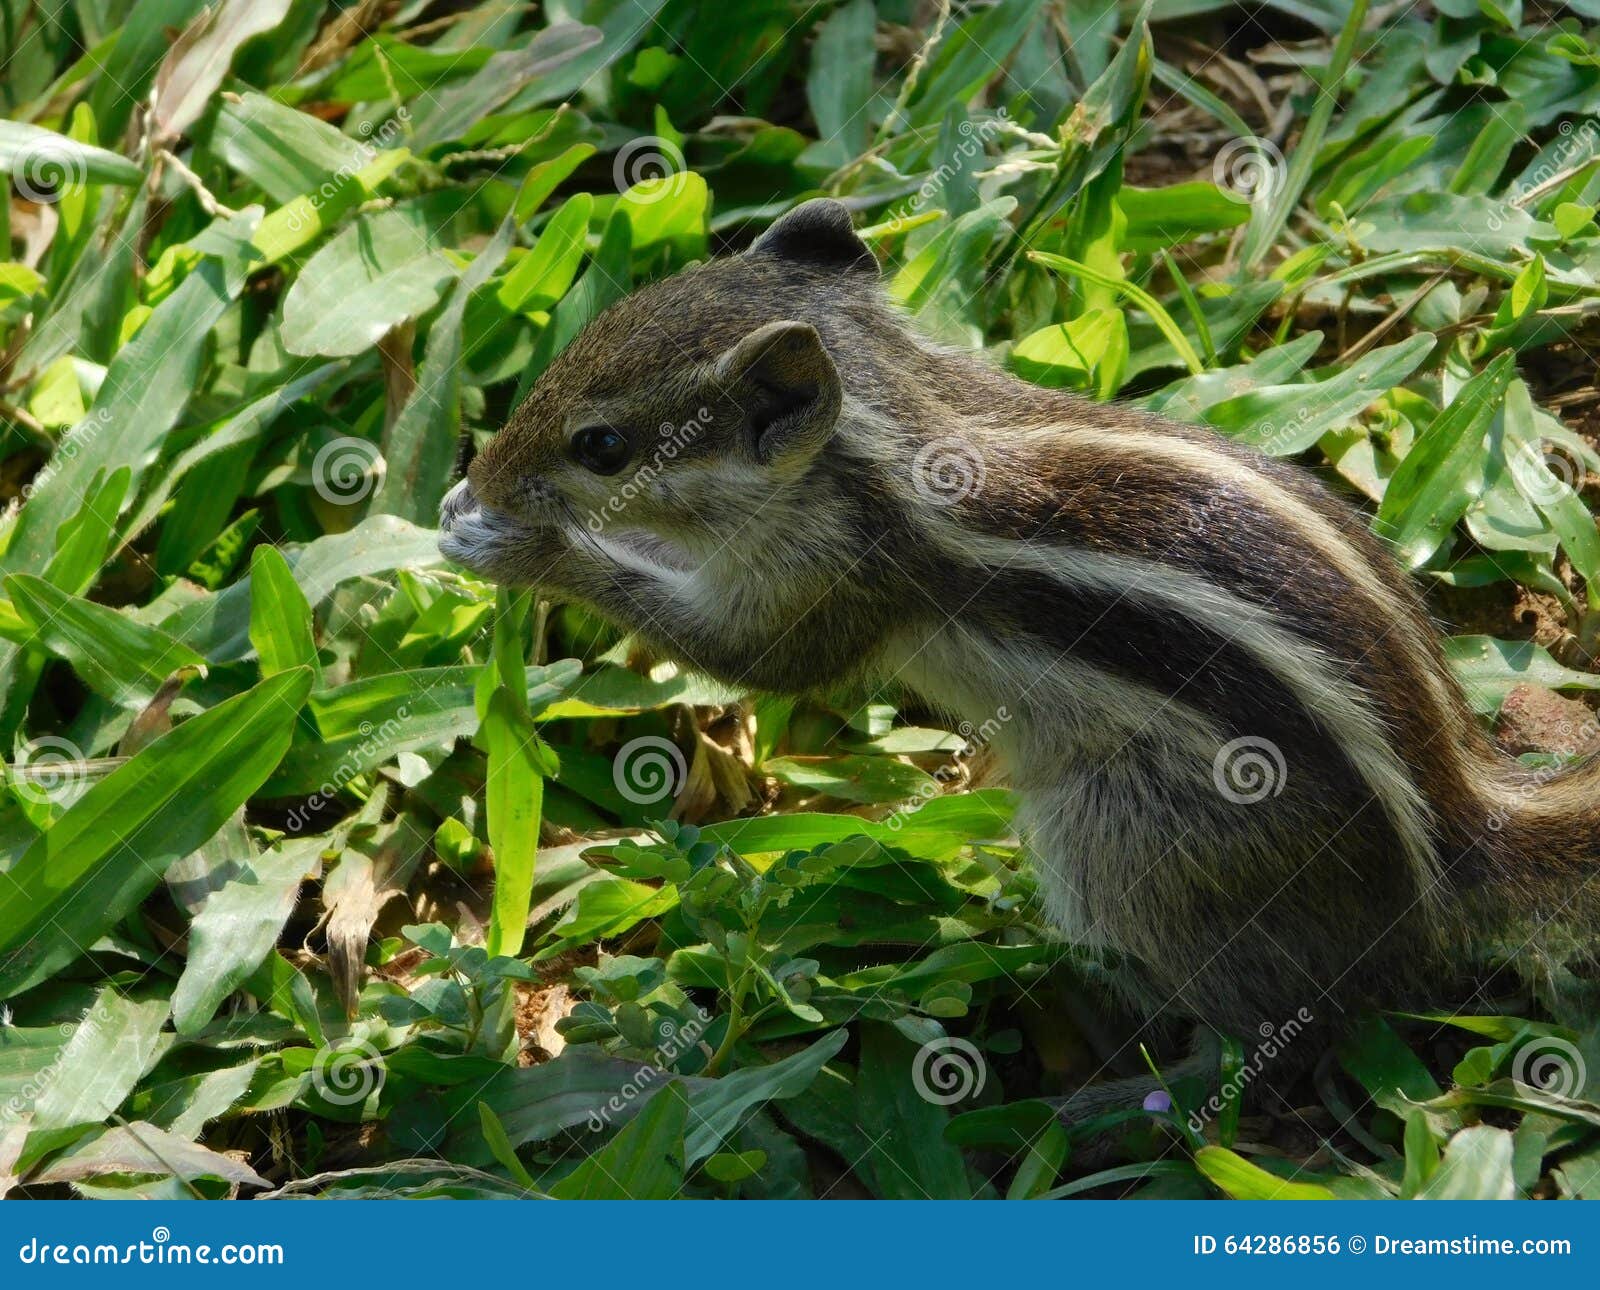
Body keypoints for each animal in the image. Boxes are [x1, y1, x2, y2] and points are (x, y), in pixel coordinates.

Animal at [441, 197, 1600, 1068]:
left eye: (600, 445)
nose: (486, 473)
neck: (895, 409)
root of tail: (1464, 827)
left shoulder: (832, 579)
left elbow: (757, 660)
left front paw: (518, 546)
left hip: (1127, 834)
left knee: (1272, 1024)